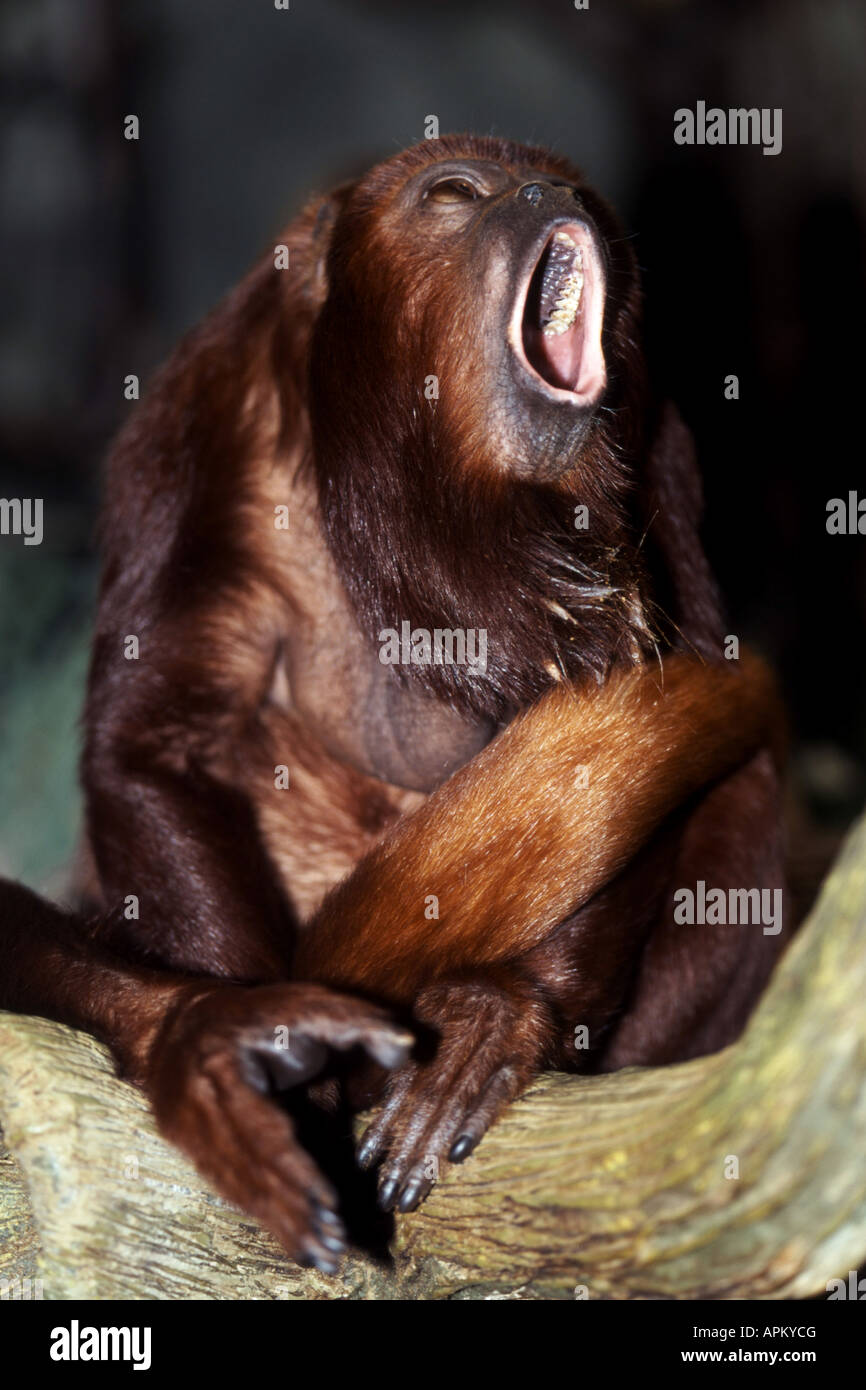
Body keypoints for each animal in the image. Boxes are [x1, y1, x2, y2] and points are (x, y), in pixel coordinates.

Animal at [0, 135, 788, 1273]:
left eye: (581, 193)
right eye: (452, 195)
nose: (551, 194)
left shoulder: (660, 444)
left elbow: (662, 723)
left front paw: (505, 1009)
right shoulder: (210, 412)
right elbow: (158, 742)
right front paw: (245, 1044)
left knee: (742, 777)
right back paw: (194, 1035)